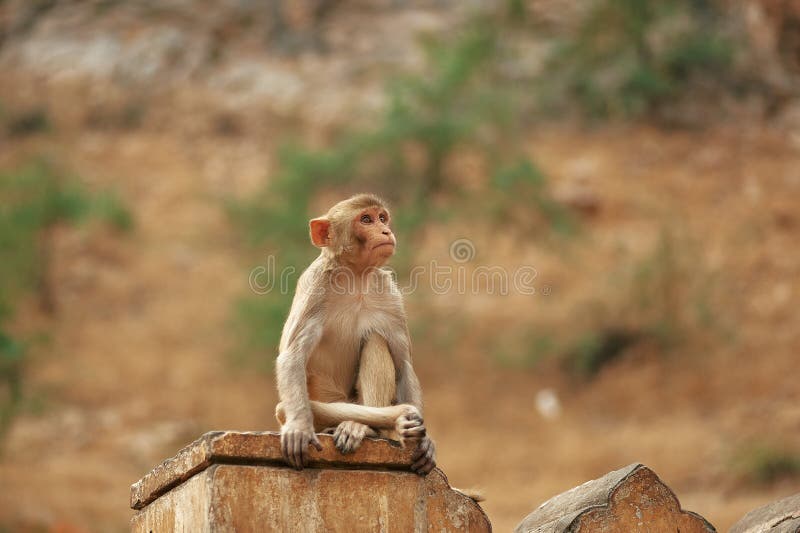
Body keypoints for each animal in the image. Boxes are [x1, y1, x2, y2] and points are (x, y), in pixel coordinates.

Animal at [274, 193, 436, 475]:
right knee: (288, 408)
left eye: (382, 218)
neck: (356, 277)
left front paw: (423, 443)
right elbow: (292, 356)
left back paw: (366, 427)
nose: (385, 231)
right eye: (366, 220)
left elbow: (403, 364)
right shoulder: (315, 287)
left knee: (376, 340)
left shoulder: (390, 295)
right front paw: (299, 425)